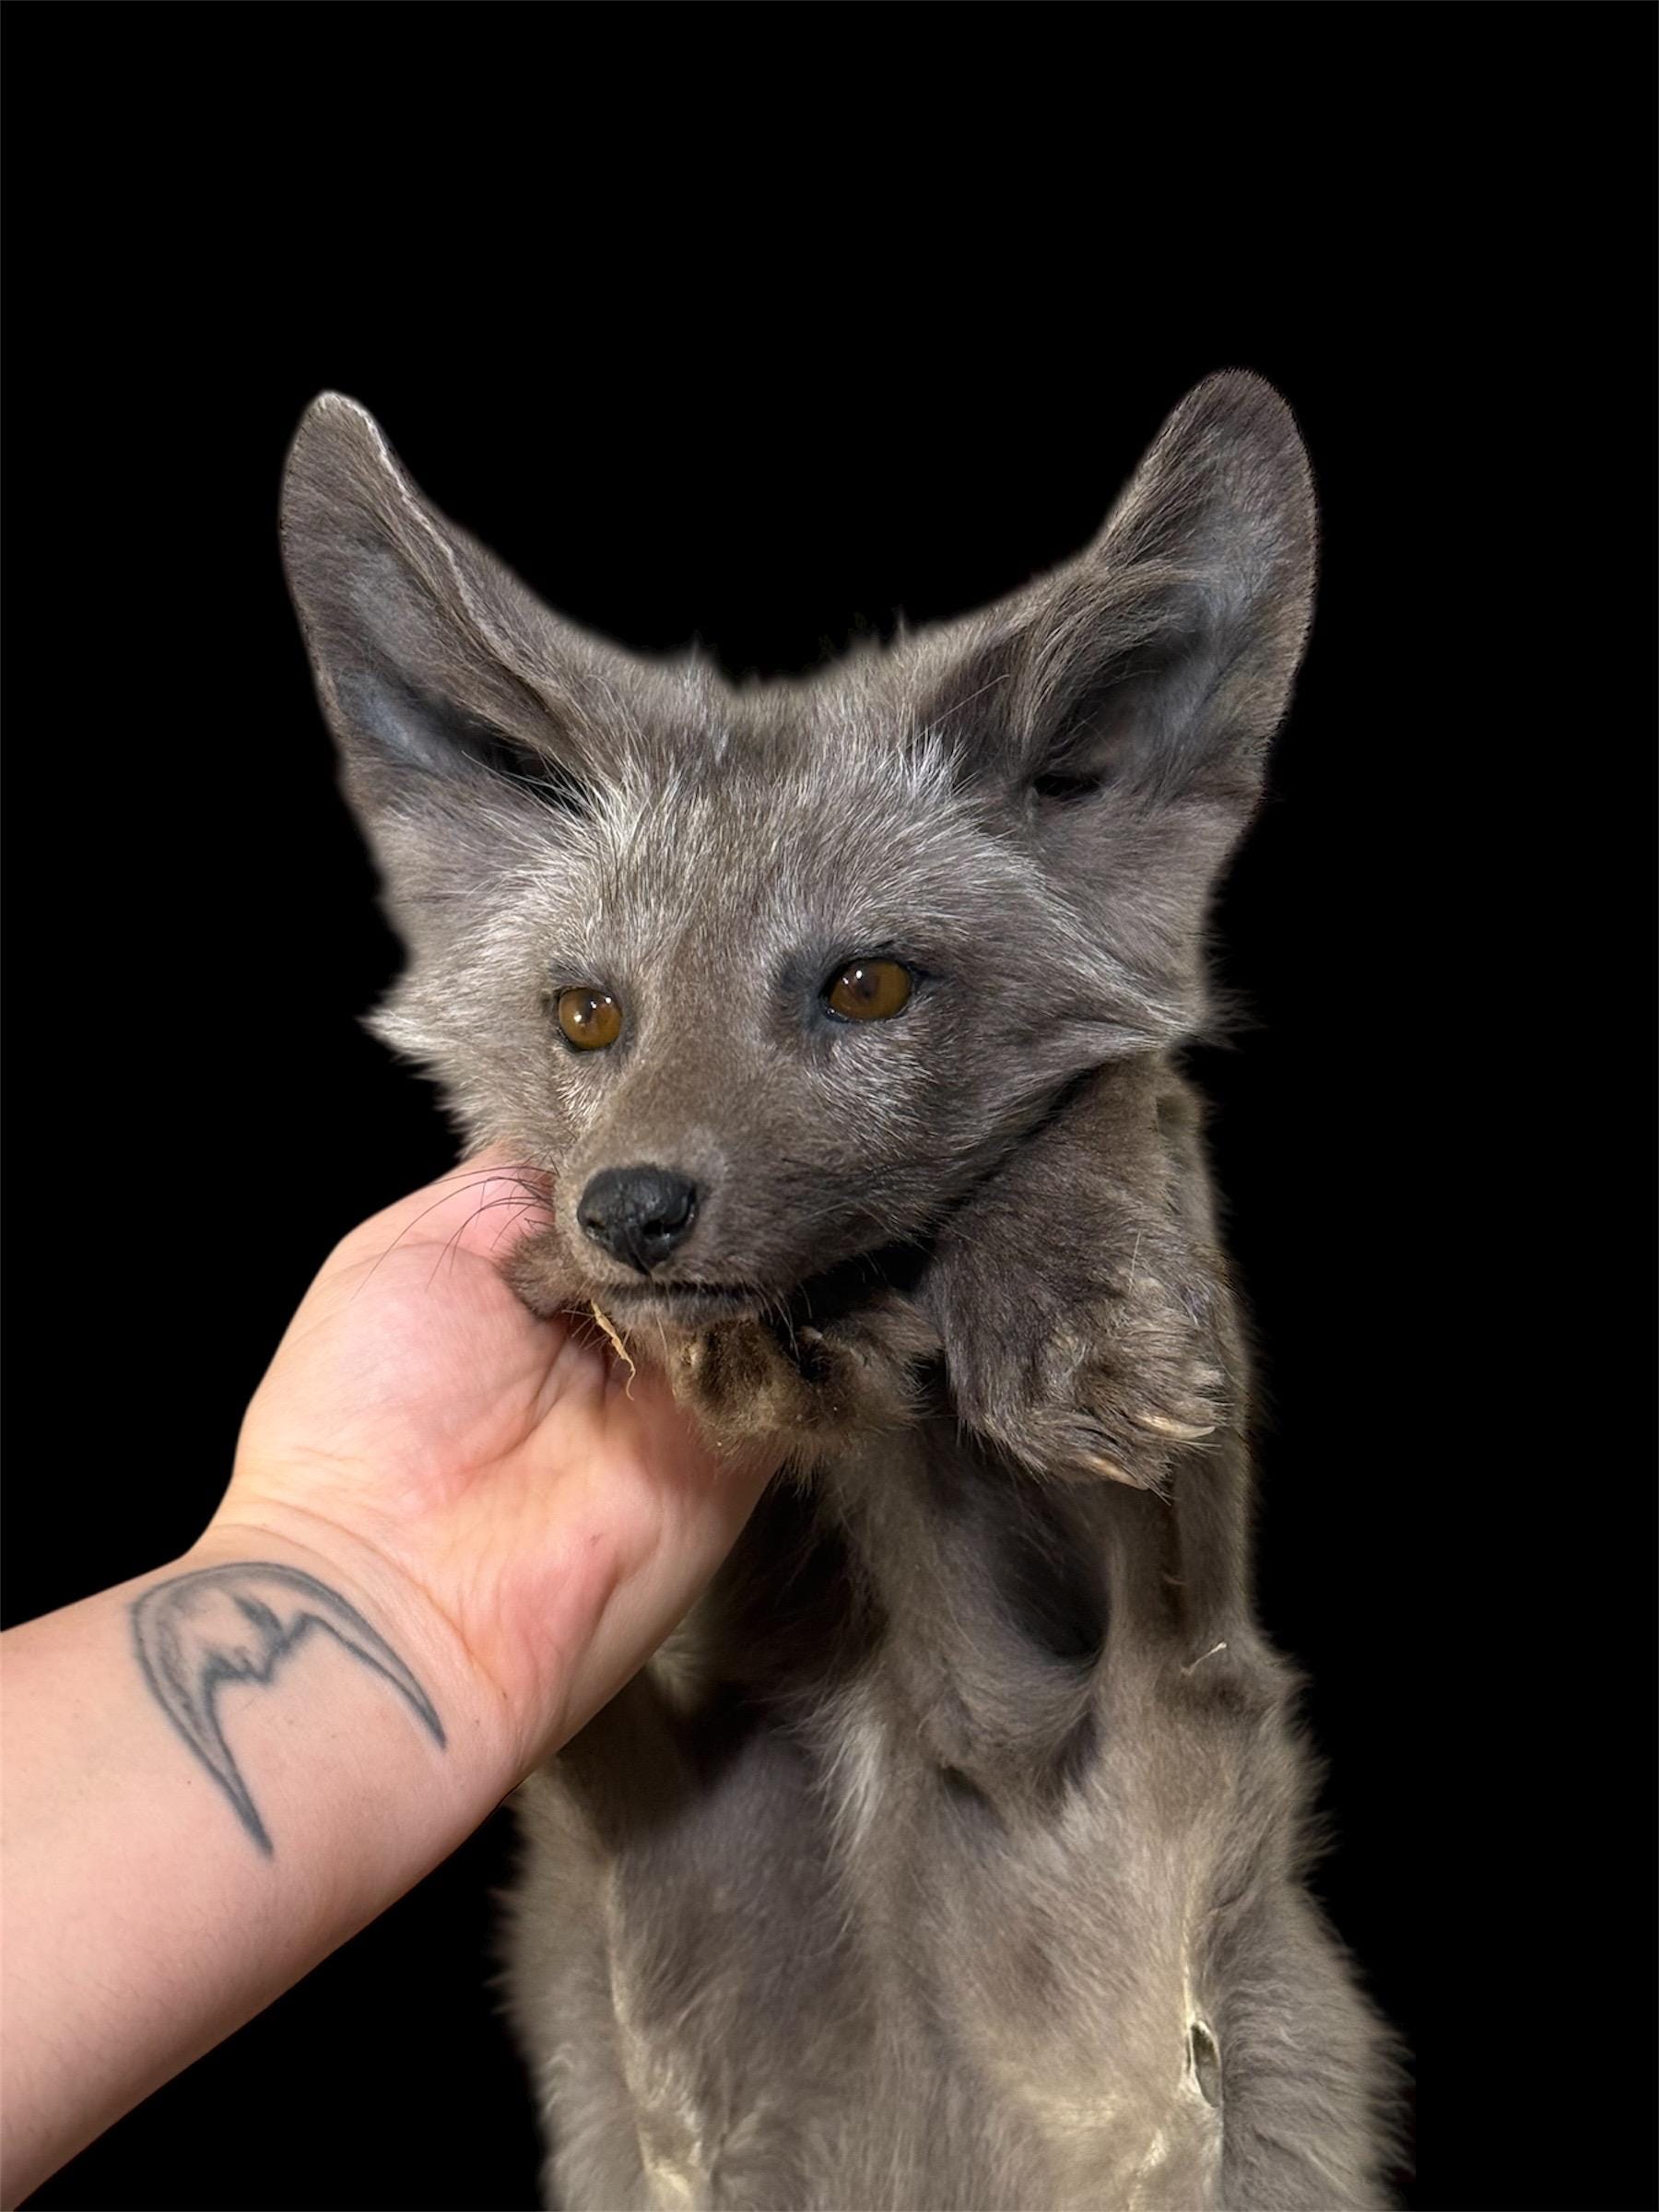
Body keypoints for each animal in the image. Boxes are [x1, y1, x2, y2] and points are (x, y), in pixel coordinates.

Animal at [279, 371, 1406, 2211]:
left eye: (868, 987)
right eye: (588, 1016)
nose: (630, 1214)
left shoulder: (1128, 1624)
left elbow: (1117, 1086)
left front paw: (1074, 1306)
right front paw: (686, 1323)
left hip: (1176, 1776)